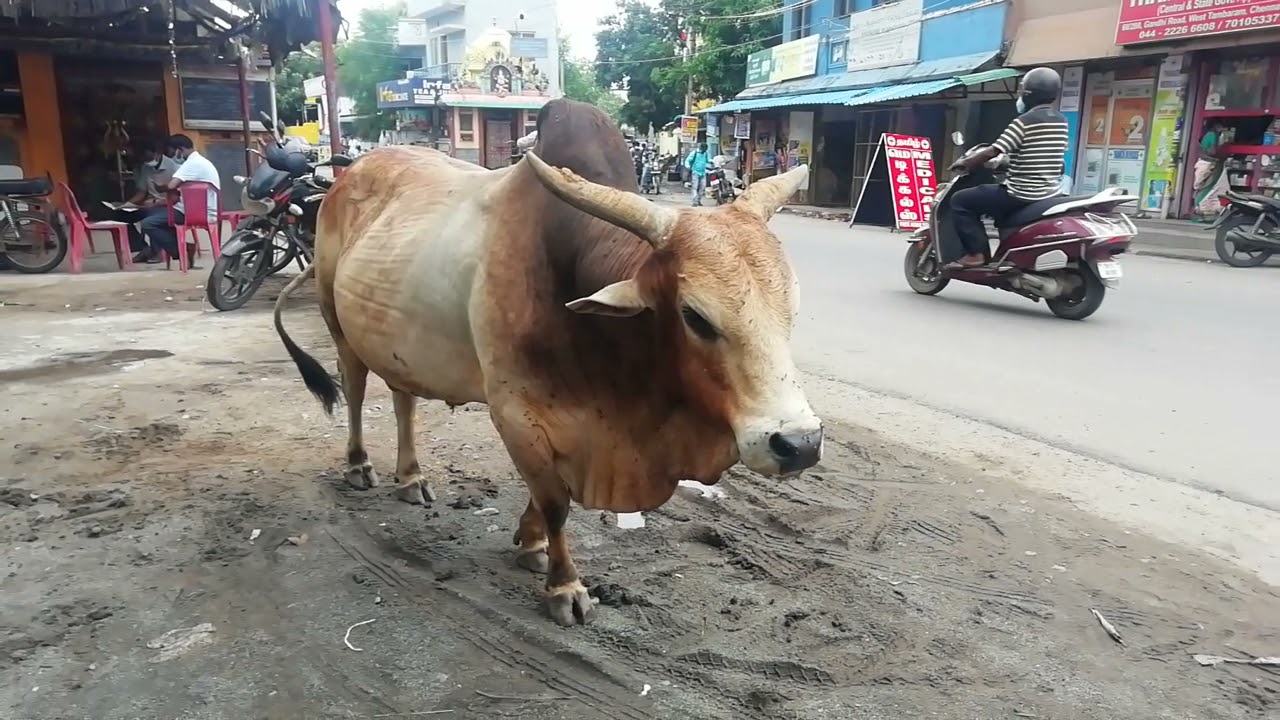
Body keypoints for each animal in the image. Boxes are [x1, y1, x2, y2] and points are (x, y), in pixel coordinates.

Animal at [272, 98, 822, 626]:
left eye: (793, 308)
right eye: (695, 316)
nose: (799, 444)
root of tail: (349, 173)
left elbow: (546, 499)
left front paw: (530, 542)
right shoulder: (515, 413)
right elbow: (556, 503)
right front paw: (564, 586)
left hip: (393, 338)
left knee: (402, 399)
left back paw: (409, 477)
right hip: (338, 325)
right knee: (355, 389)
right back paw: (359, 464)